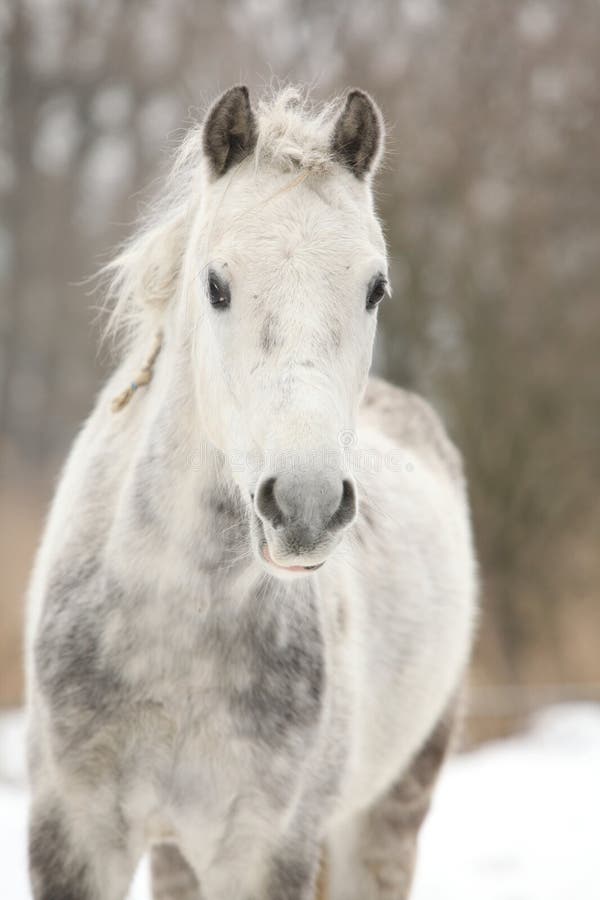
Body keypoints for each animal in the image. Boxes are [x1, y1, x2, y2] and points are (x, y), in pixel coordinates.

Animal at [26, 85, 477, 900]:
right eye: (216, 285)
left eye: (375, 288)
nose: (305, 504)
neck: (170, 623)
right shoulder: (74, 839)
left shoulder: (265, 851)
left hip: (389, 812)